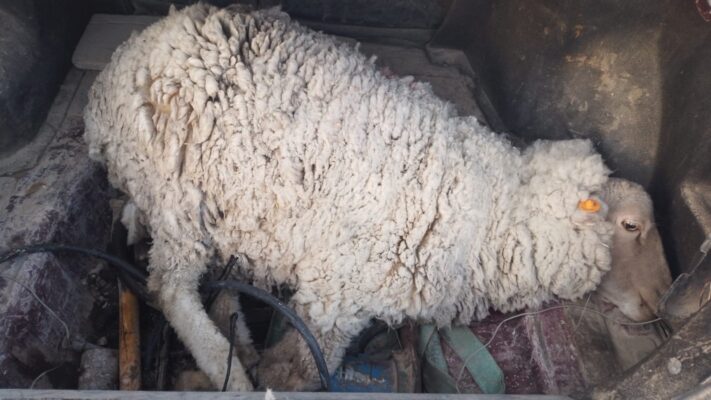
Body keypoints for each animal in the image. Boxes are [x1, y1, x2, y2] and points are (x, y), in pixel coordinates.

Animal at [83, 4, 670, 391]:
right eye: (632, 226)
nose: (664, 297)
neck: (492, 210)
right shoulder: (337, 293)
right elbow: (300, 367)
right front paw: (272, 377)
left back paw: (238, 336)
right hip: (178, 195)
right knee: (169, 289)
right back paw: (229, 369)